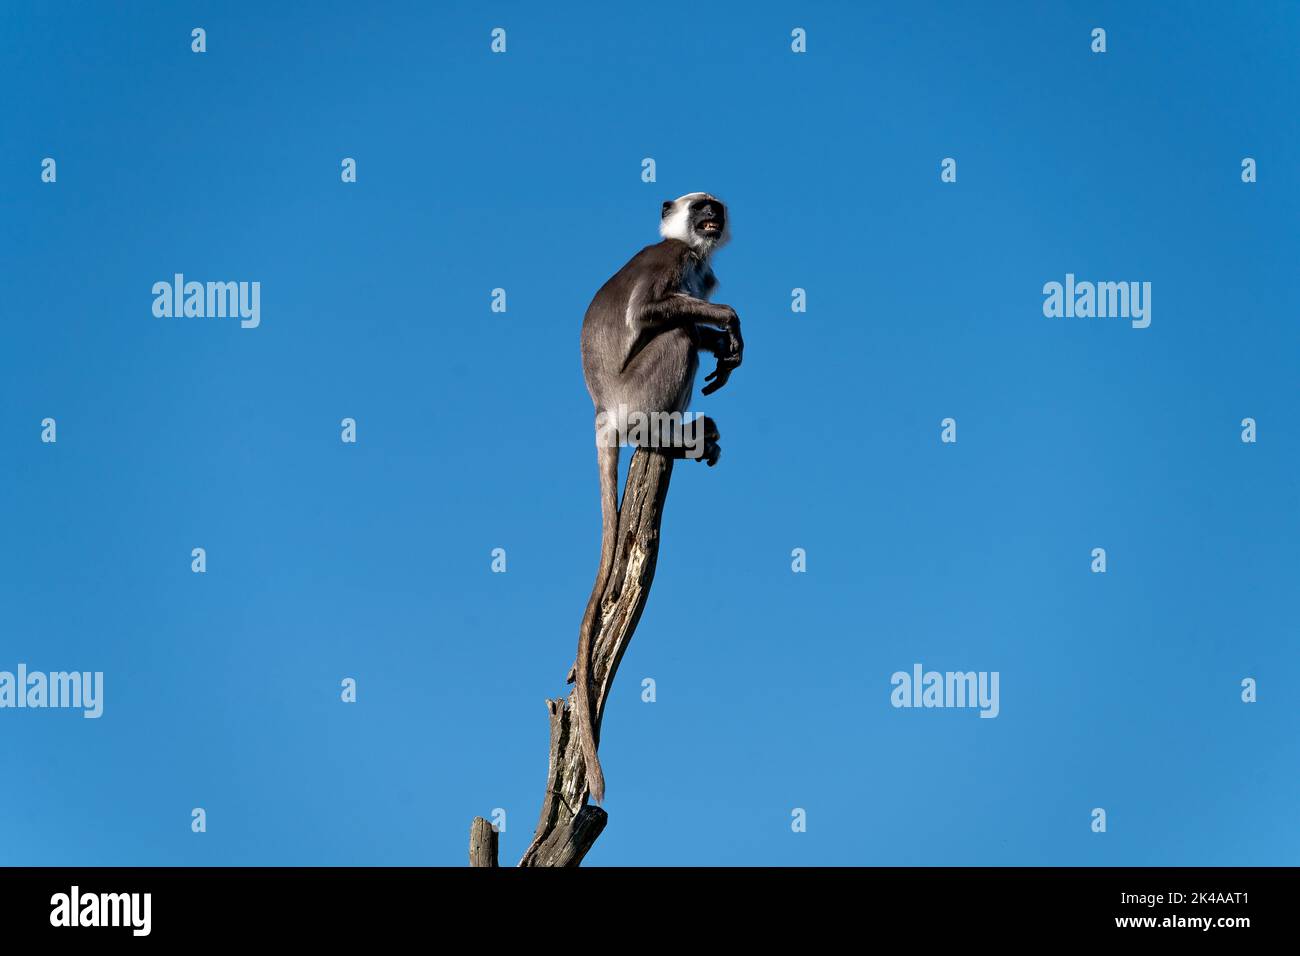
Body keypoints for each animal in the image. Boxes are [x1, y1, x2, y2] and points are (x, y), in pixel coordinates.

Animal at [574, 192, 744, 803]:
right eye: (702, 209)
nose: (713, 218)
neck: (693, 251)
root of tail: (604, 412)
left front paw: (727, 346)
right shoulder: (671, 259)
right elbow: (649, 314)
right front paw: (729, 323)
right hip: (640, 395)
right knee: (677, 334)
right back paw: (673, 437)